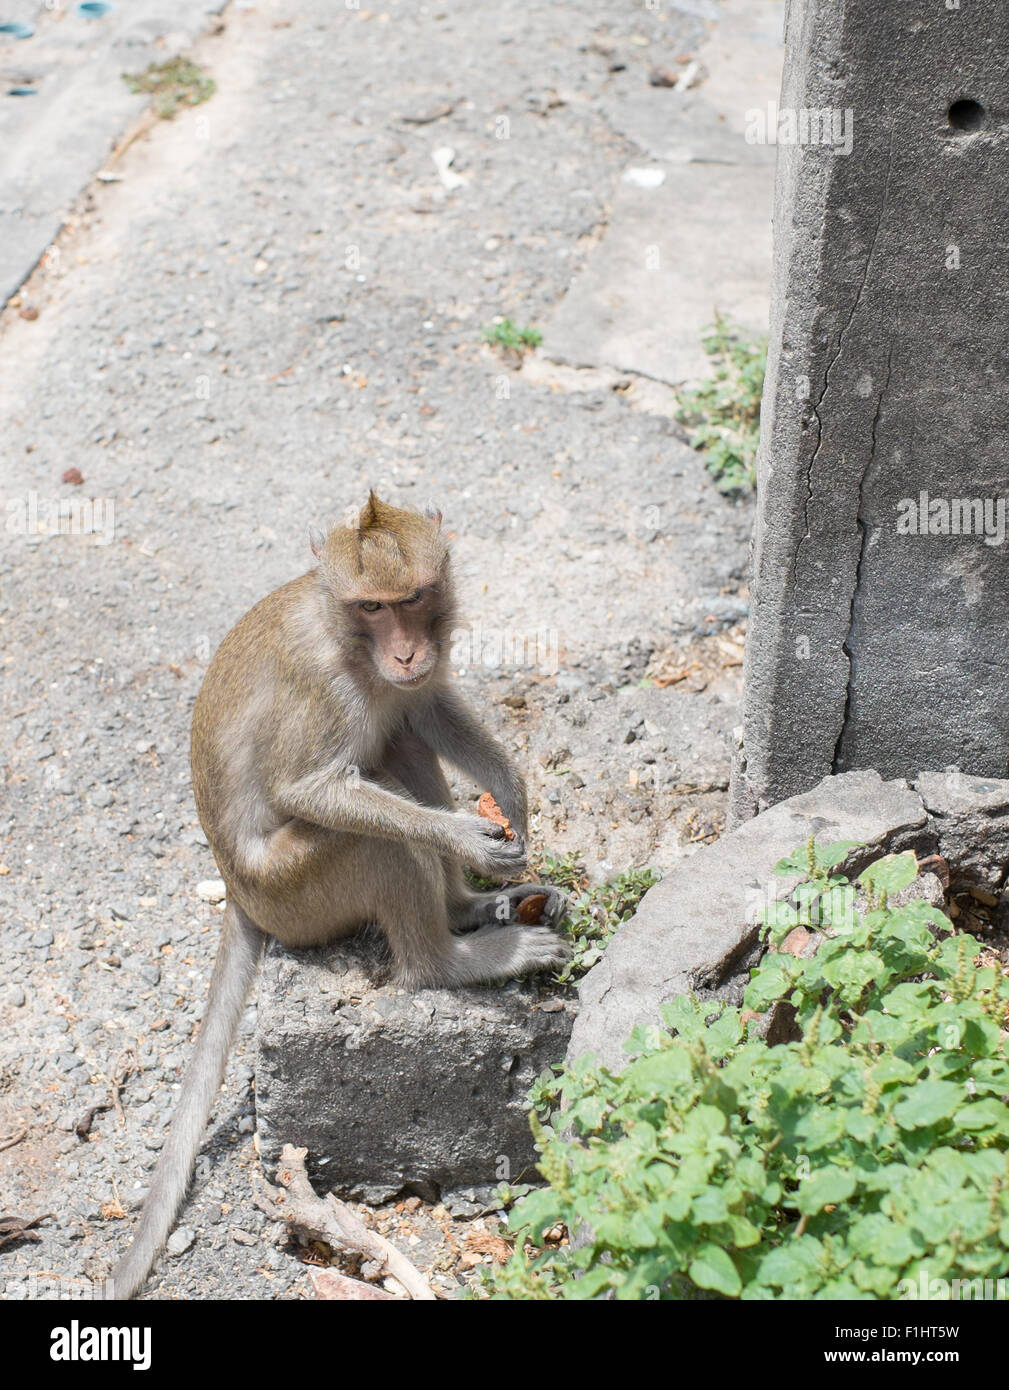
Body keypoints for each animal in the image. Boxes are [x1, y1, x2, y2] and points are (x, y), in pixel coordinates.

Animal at [110, 493, 570, 1299]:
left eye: (413, 598)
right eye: (371, 607)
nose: (408, 654)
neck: (348, 642)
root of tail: (238, 893)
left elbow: (426, 711)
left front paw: (509, 792)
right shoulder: (320, 686)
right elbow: (307, 788)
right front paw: (465, 835)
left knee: (401, 741)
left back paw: (467, 910)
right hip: (295, 895)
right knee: (376, 836)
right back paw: (454, 959)